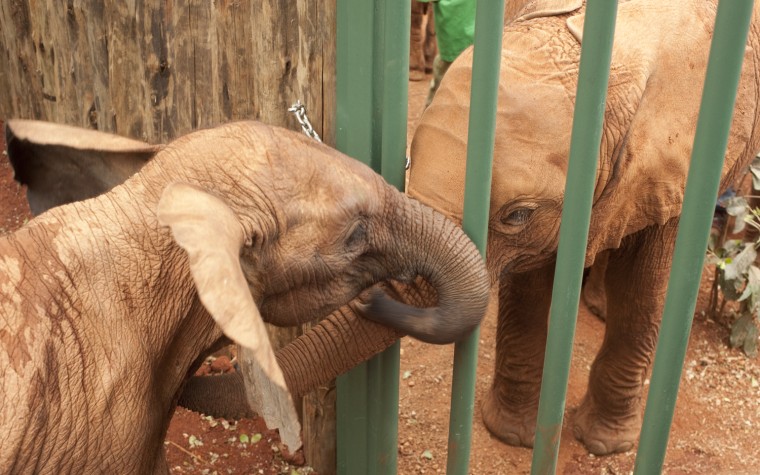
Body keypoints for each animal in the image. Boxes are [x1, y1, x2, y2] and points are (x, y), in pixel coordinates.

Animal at [407, 0, 760, 456]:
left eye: (517, 215)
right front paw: (511, 436)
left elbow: (643, 291)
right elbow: (530, 288)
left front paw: (605, 445)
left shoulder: (679, 168)